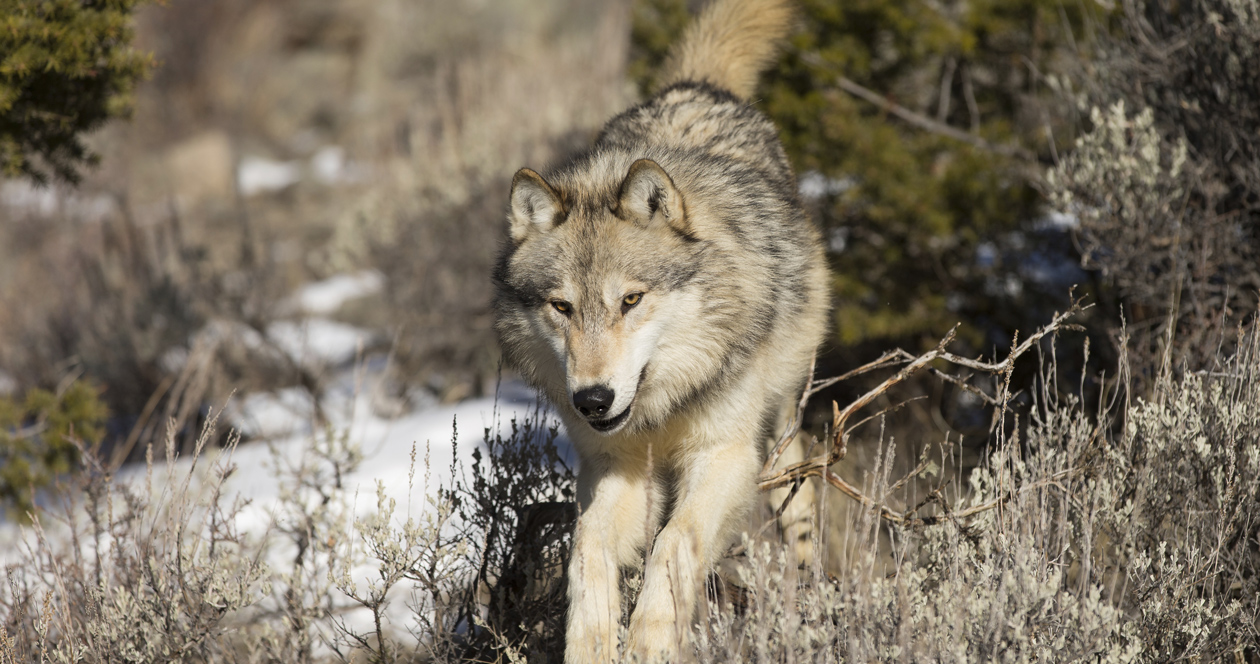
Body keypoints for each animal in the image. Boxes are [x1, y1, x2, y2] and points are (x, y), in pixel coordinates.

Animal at [492, 0, 829, 660]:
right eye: (562, 307)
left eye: (631, 300)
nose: (593, 399)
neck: (662, 407)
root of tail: (693, 86)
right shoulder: (615, 468)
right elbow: (586, 548)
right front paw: (592, 643)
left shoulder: (724, 455)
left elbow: (675, 544)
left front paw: (652, 642)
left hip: (781, 427)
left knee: (798, 506)